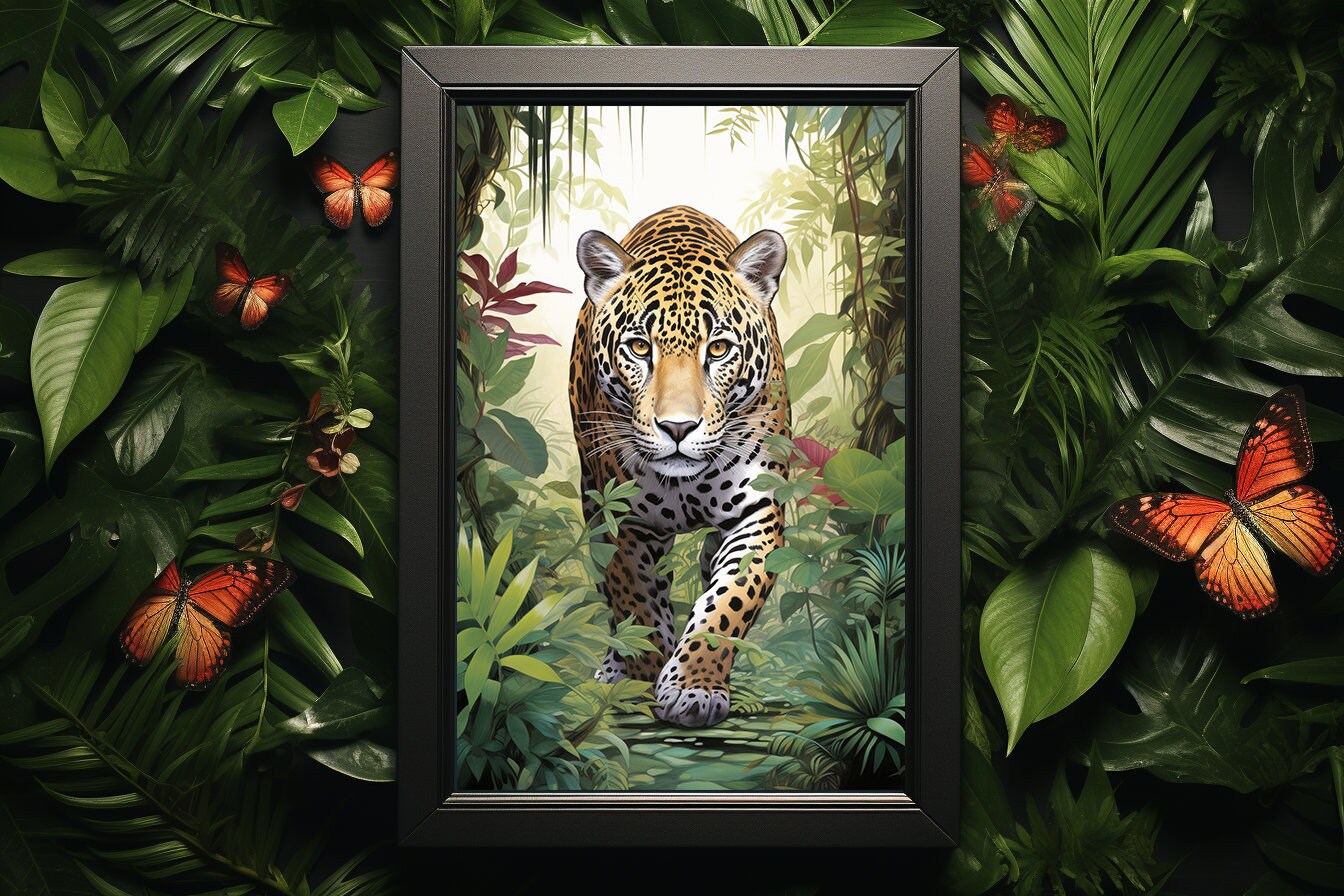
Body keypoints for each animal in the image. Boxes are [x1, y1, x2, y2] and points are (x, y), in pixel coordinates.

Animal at [569, 205, 791, 728]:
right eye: (639, 348)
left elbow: (729, 603)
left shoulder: (758, 513)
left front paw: (695, 686)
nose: (677, 427)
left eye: (719, 349)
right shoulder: (621, 519)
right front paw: (644, 675)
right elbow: (637, 602)